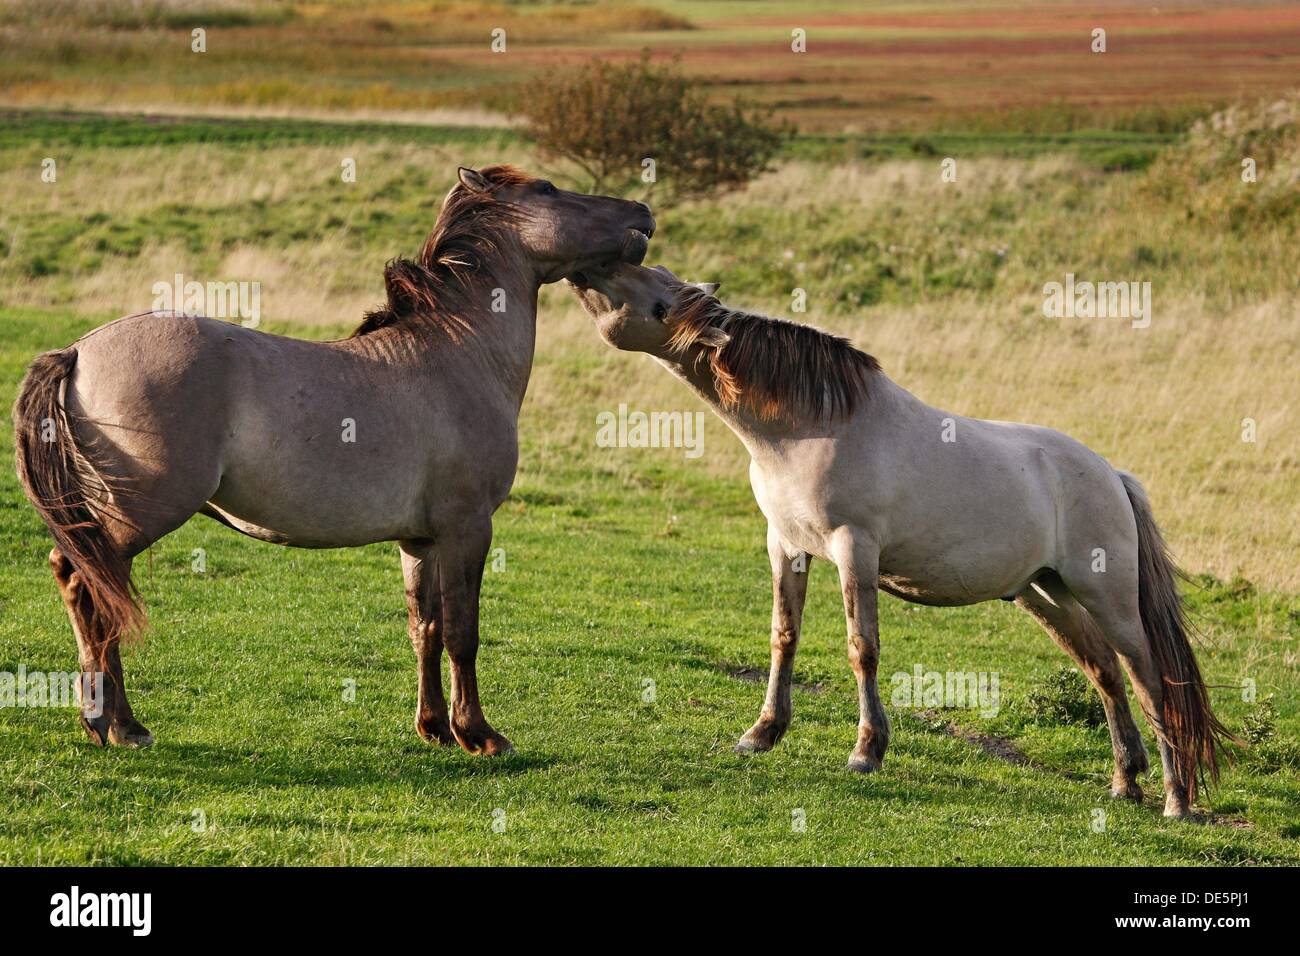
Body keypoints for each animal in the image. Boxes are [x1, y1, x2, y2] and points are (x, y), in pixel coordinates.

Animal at [12, 165, 655, 755]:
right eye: (547, 189)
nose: (643, 213)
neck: (458, 353)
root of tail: (78, 351)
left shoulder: (421, 541)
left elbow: (425, 628)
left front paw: (434, 728)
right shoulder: (467, 528)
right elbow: (463, 632)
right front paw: (478, 734)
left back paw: (111, 721)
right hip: (137, 516)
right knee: (86, 586)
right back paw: (116, 724)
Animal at [568, 262, 1236, 818]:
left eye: (653, 292)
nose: (588, 270)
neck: (810, 427)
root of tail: (1112, 475)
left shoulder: (853, 551)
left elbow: (861, 647)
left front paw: (867, 750)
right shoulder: (785, 547)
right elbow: (784, 637)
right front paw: (762, 733)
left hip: (1107, 596)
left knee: (1151, 680)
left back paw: (1177, 799)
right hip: (1045, 594)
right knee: (1104, 672)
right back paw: (1125, 781)